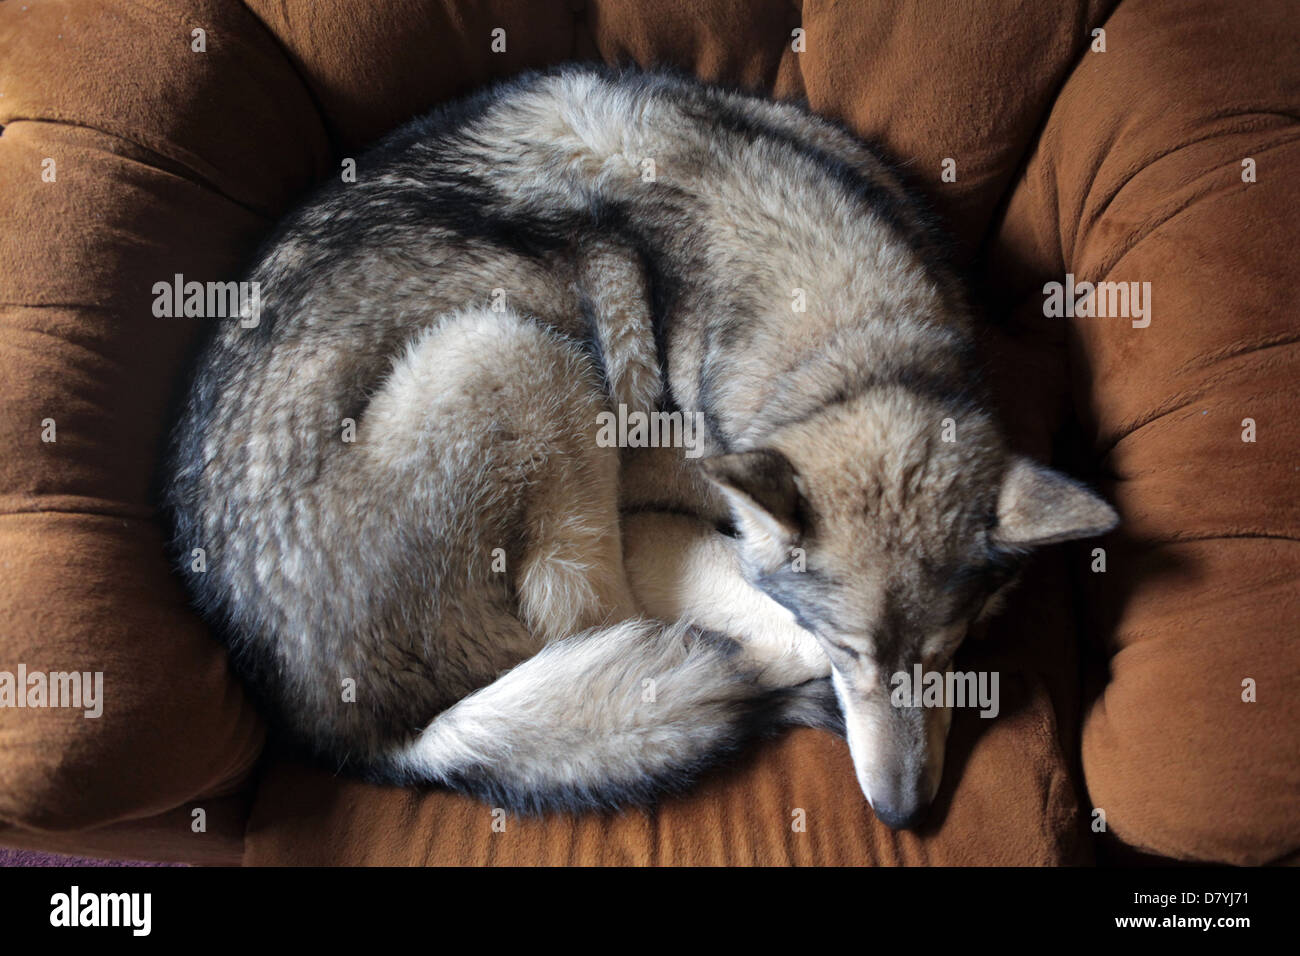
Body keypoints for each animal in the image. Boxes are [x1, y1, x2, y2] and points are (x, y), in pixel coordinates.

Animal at [165, 65, 1117, 829]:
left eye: (952, 655)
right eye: (853, 657)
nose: (904, 817)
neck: (849, 346)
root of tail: (376, 743)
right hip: (513, 350)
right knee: (617, 621)